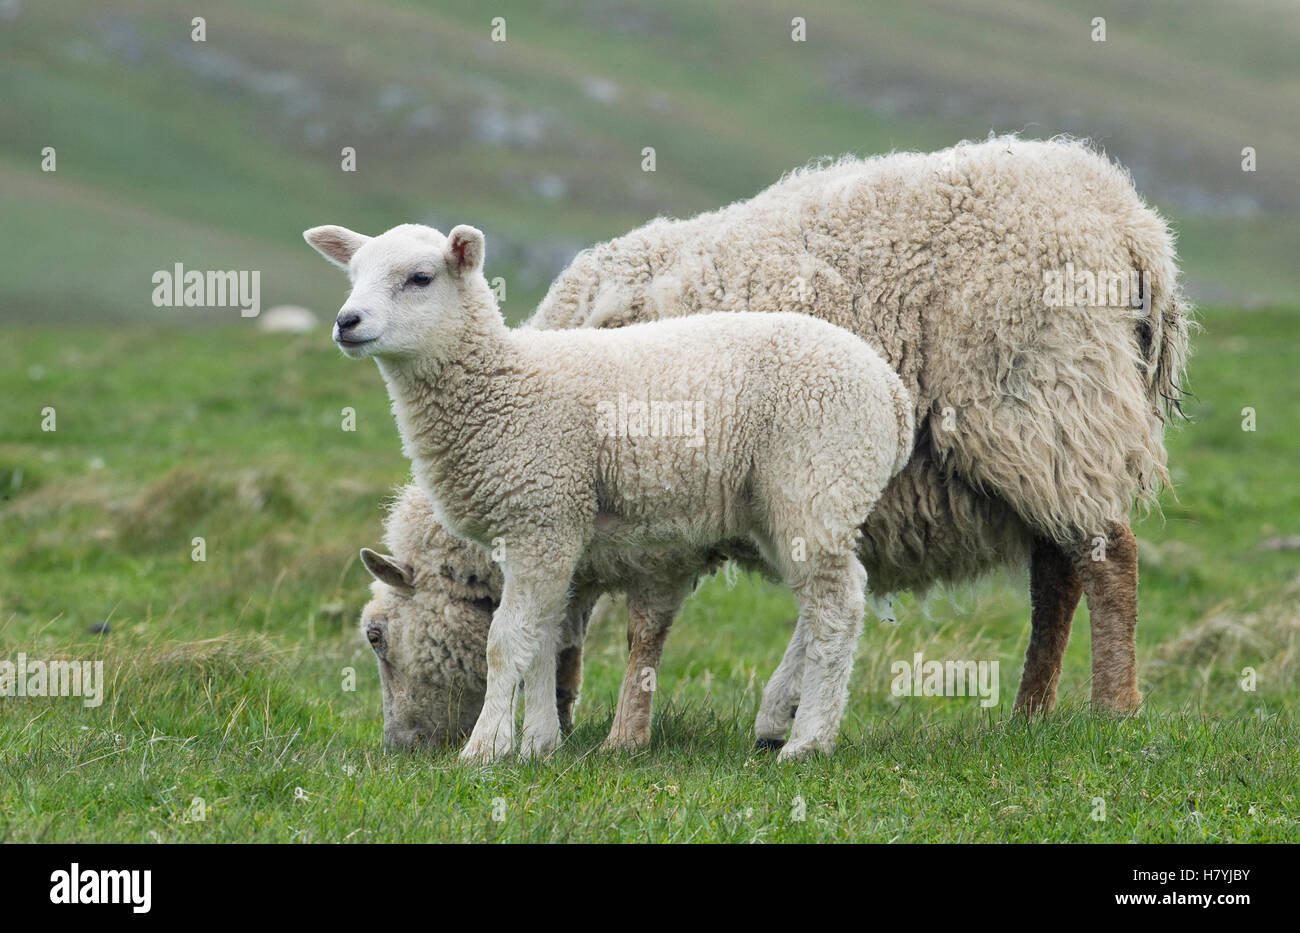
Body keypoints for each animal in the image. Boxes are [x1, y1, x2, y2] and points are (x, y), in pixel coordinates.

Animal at [305, 220, 914, 761]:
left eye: (421, 278)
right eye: (353, 275)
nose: (346, 321)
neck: (504, 384)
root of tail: (890, 388)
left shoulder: (542, 516)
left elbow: (507, 643)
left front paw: (483, 750)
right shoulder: (548, 531)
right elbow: (546, 640)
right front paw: (538, 744)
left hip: (816, 481)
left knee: (837, 606)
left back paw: (808, 741)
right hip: (782, 504)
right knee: (818, 602)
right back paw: (784, 723)